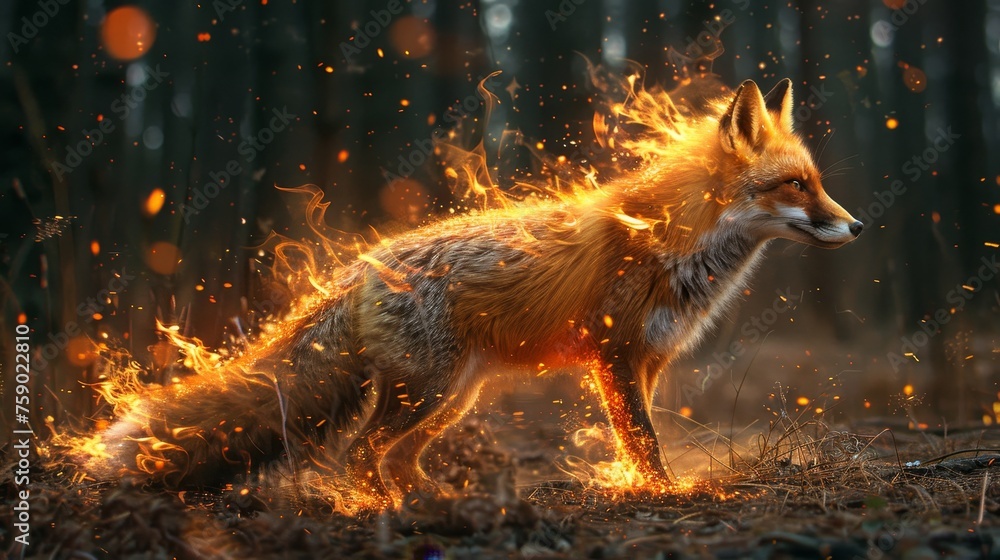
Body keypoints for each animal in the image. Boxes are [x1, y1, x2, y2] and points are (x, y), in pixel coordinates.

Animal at [84, 77, 863, 505]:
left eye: (817, 182)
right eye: (796, 185)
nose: (856, 225)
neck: (680, 244)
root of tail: (360, 266)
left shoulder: (646, 364)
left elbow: (641, 439)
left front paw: (648, 485)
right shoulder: (615, 359)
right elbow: (643, 442)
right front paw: (665, 493)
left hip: (450, 396)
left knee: (394, 457)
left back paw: (433, 500)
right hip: (427, 391)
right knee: (361, 453)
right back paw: (390, 512)